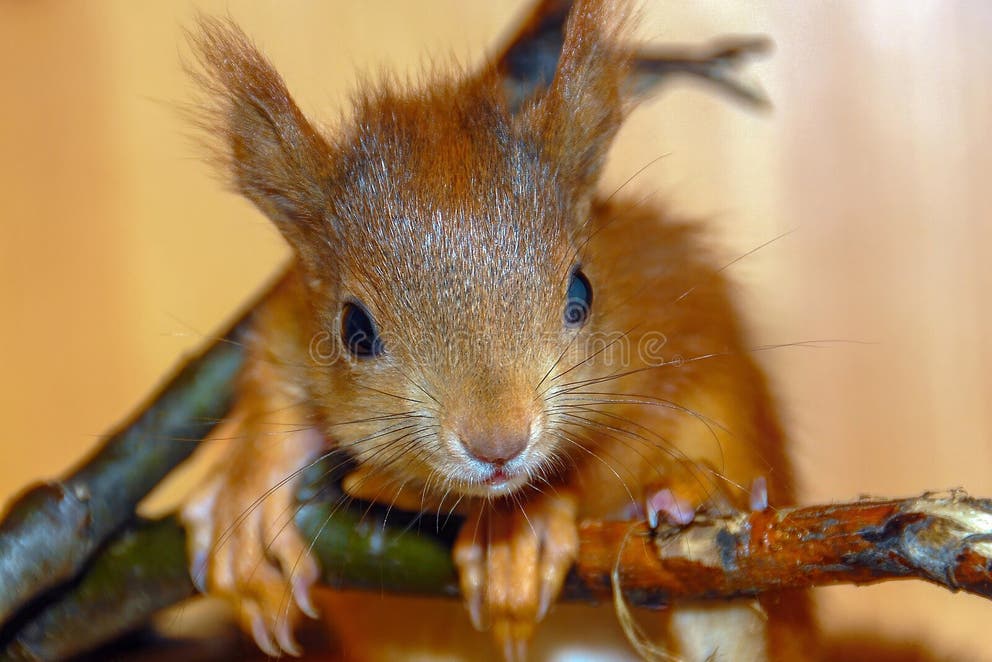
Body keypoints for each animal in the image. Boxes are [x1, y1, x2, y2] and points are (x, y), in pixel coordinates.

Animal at [180, 0, 815, 659]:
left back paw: (698, 510)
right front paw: (243, 491)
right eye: (354, 329)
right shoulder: (286, 317)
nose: (498, 443)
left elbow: (618, 445)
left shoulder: (670, 305)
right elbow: (271, 369)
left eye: (582, 292)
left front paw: (521, 526)